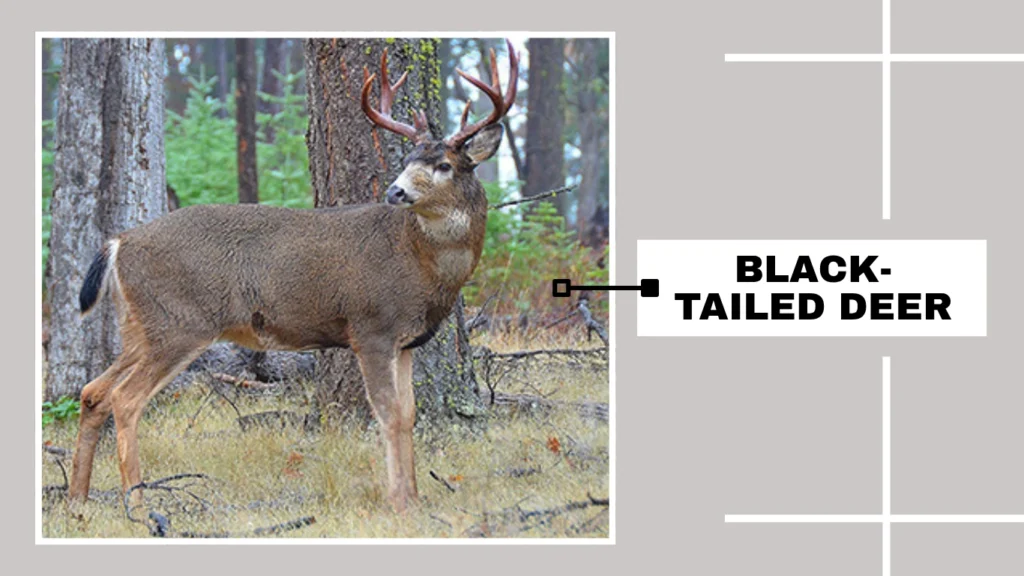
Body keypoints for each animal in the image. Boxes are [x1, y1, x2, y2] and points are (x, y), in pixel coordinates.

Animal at [68, 40, 519, 515]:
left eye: (445, 164)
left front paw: (413, 495)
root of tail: (119, 242)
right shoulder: (371, 326)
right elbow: (390, 414)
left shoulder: (407, 341)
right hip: (180, 322)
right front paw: (399, 502)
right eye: (409, 160)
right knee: (125, 399)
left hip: (141, 325)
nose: (395, 191)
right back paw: (137, 503)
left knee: (93, 391)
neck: (421, 262)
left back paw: (77, 497)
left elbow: (409, 415)